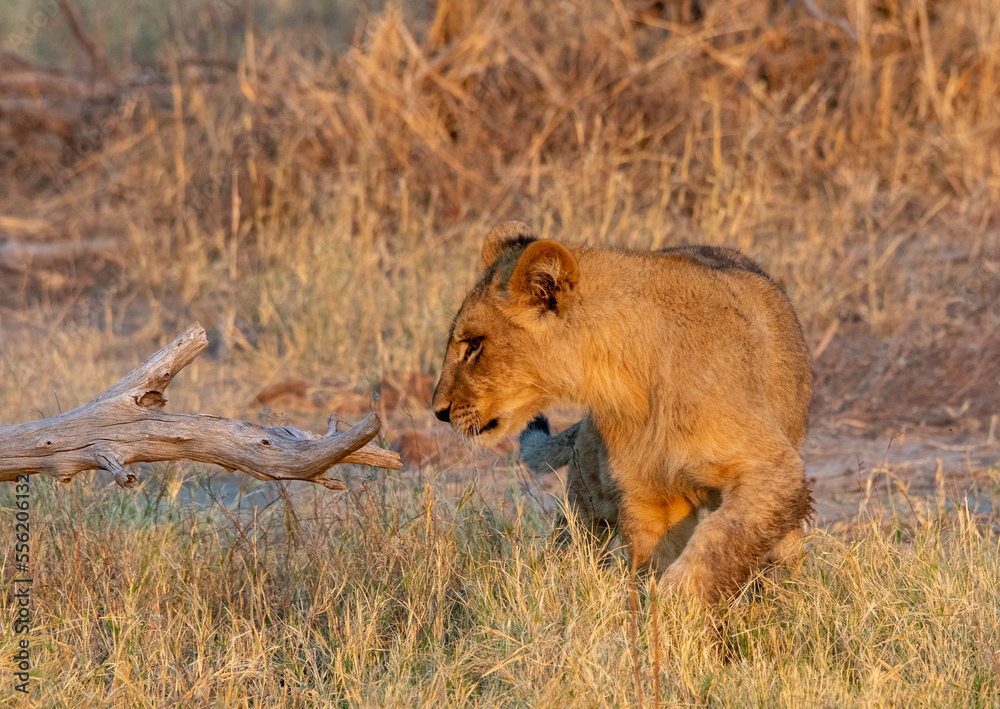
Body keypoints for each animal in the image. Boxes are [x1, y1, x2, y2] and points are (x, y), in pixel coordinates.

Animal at [432, 221, 813, 604]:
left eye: (474, 345)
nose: (439, 411)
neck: (628, 379)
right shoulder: (650, 496)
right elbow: (655, 563)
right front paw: (657, 610)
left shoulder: (773, 469)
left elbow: (718, 543)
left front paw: (677, 599)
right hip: (588, 500)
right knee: (570, 543)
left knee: (785, 550)